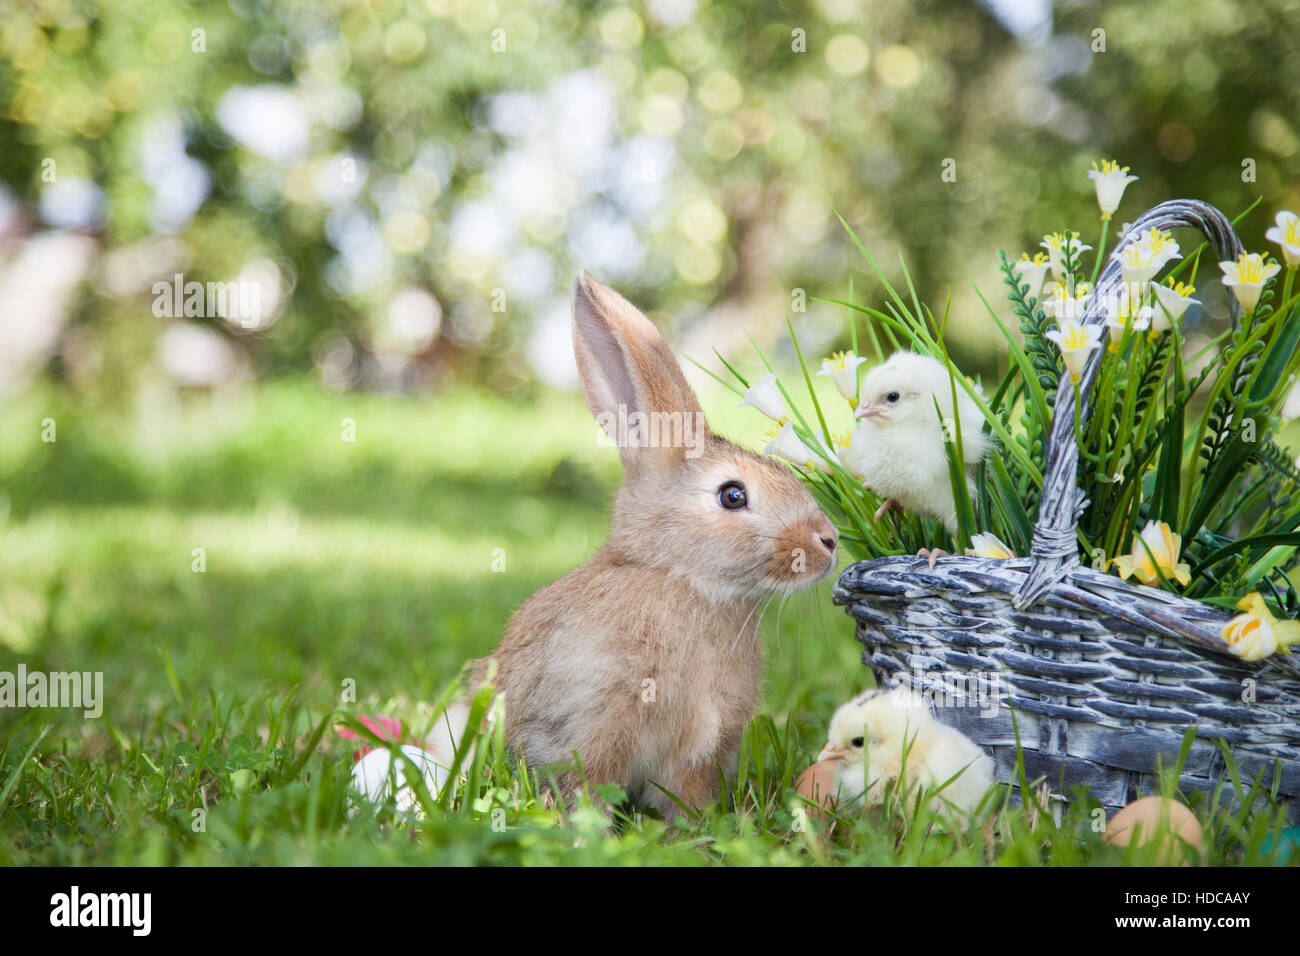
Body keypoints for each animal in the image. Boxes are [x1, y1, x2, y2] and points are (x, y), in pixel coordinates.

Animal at [468, 272, 839, 819]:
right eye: (732, 495)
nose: (828, 541)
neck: (680, 580)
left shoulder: (699, 753)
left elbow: (687, 797)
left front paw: (694, 828)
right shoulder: (593, 726)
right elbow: (586, 785)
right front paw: (589, 828)